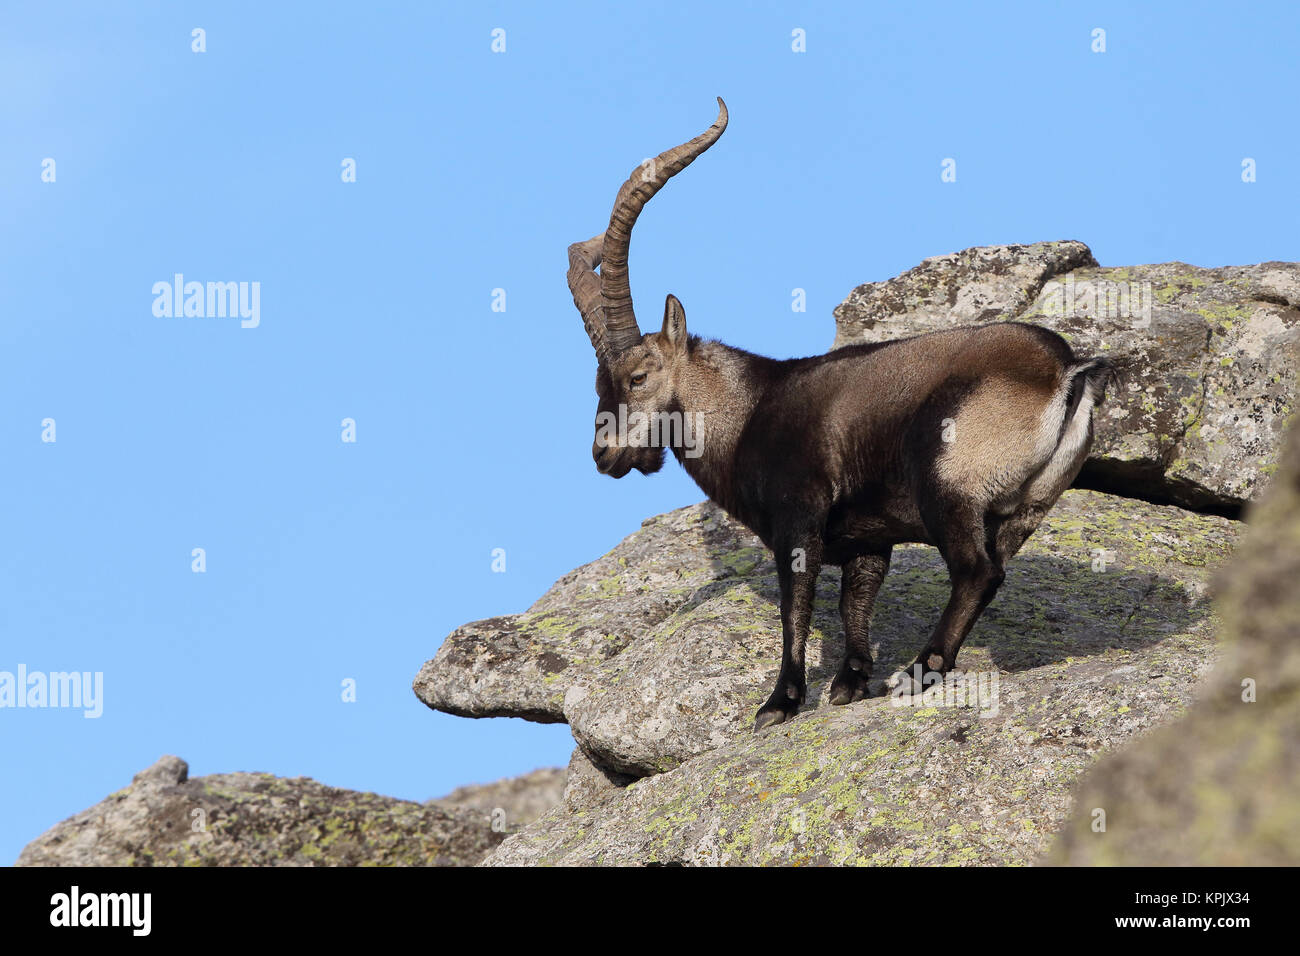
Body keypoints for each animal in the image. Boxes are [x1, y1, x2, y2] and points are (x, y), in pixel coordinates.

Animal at [567, 99, 1114, 730]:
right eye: (597, 384)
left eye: (637, 377)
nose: (603, 454)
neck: (749, 408)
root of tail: (1065, 369)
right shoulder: (867, 536)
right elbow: (858, 599)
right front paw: (851, 683)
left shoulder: (799, 517)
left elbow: (796, 606)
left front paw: (779, 702)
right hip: (1025, 509)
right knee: (993, 570)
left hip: (949, 488)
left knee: (977, 572)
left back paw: (920, 670)